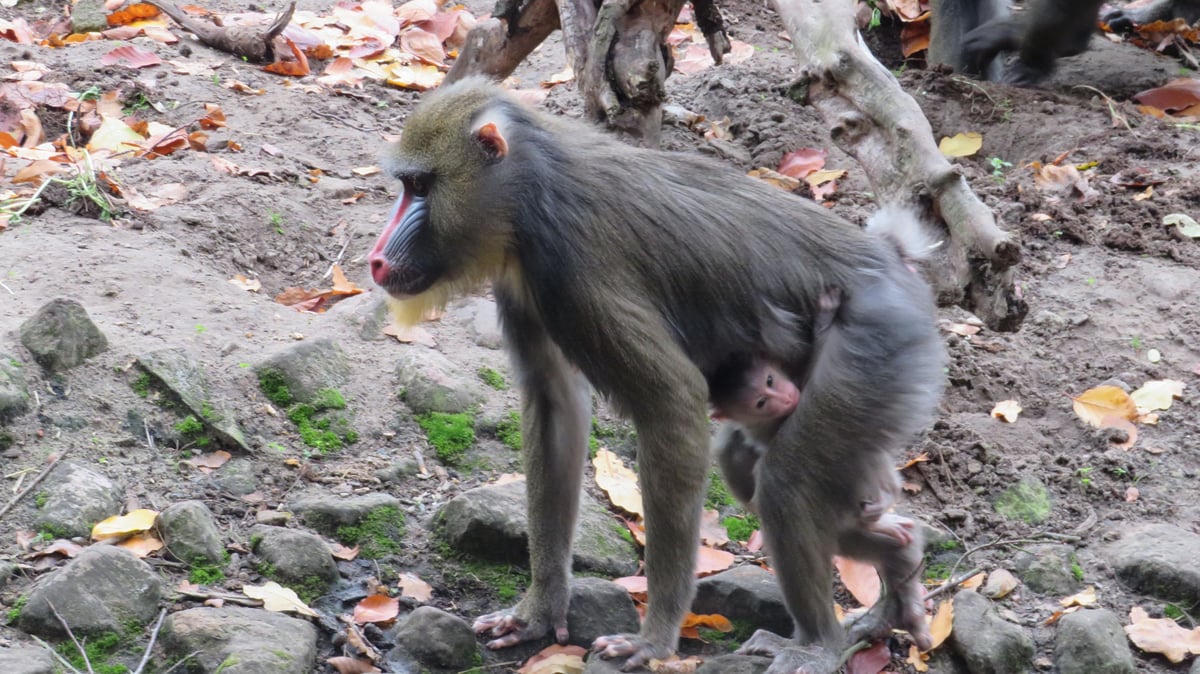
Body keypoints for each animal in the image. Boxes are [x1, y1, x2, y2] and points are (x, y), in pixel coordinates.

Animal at [368, 78, 945, 673]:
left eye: (421, 186)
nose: (377, 259)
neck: (529, 187)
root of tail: (896, 264)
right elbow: (556, 407)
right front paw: (538, 610)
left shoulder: (574, 266)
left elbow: (672, 401)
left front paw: (655, 639)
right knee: (769, 471)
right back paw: (898, 572)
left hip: (875, 350)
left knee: (786, 485)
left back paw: (817, 645)